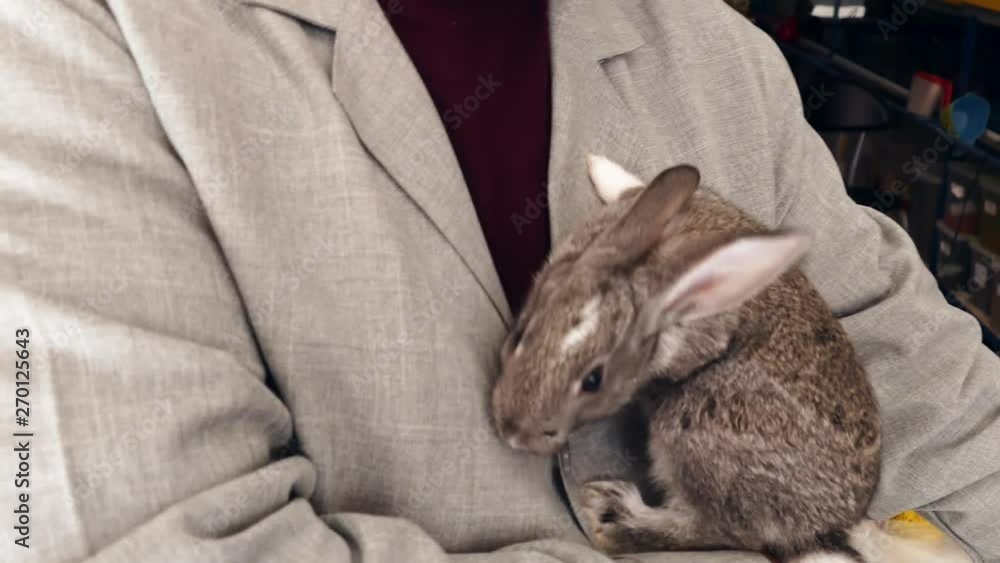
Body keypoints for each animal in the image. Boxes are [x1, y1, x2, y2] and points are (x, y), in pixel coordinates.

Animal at [490, 155, 883, 563]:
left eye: (594, 380)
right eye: (520, 333)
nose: (514, 432)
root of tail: (820, 528)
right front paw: (600, 166)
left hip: (699, 427)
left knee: (717, 529)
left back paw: (610, 515)